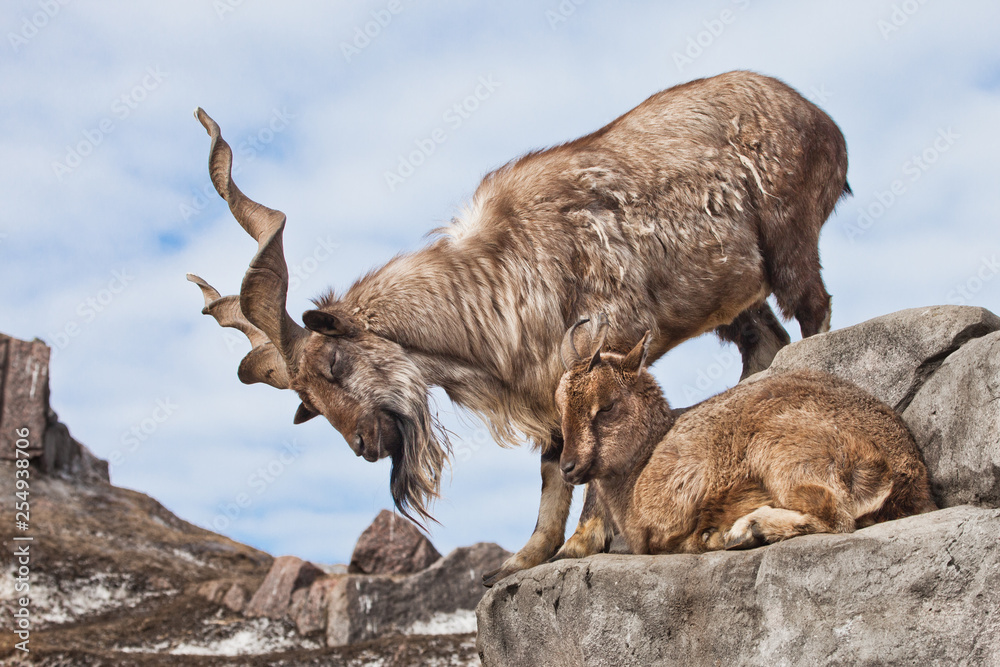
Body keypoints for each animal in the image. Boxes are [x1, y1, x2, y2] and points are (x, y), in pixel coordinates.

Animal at [186, 71, 849, 585]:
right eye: (306, 401)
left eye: (332, 364)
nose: (364, 445)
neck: (496, 272)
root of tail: (826, 124)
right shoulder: (550, 385)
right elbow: (554, 469)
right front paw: (521, 560)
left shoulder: (606, 343)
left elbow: (592, 453)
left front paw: (586, 543)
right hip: (736, 300)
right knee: (765, 343)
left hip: (789, 239)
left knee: (813, 313)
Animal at [556, 319, 938, 554]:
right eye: (561, 407)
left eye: (606, 406)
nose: (568, 467)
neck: (643, 463)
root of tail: (902, 471)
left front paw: (712, 534)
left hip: (784, 453)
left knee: (834, 514)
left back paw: (748, 529)